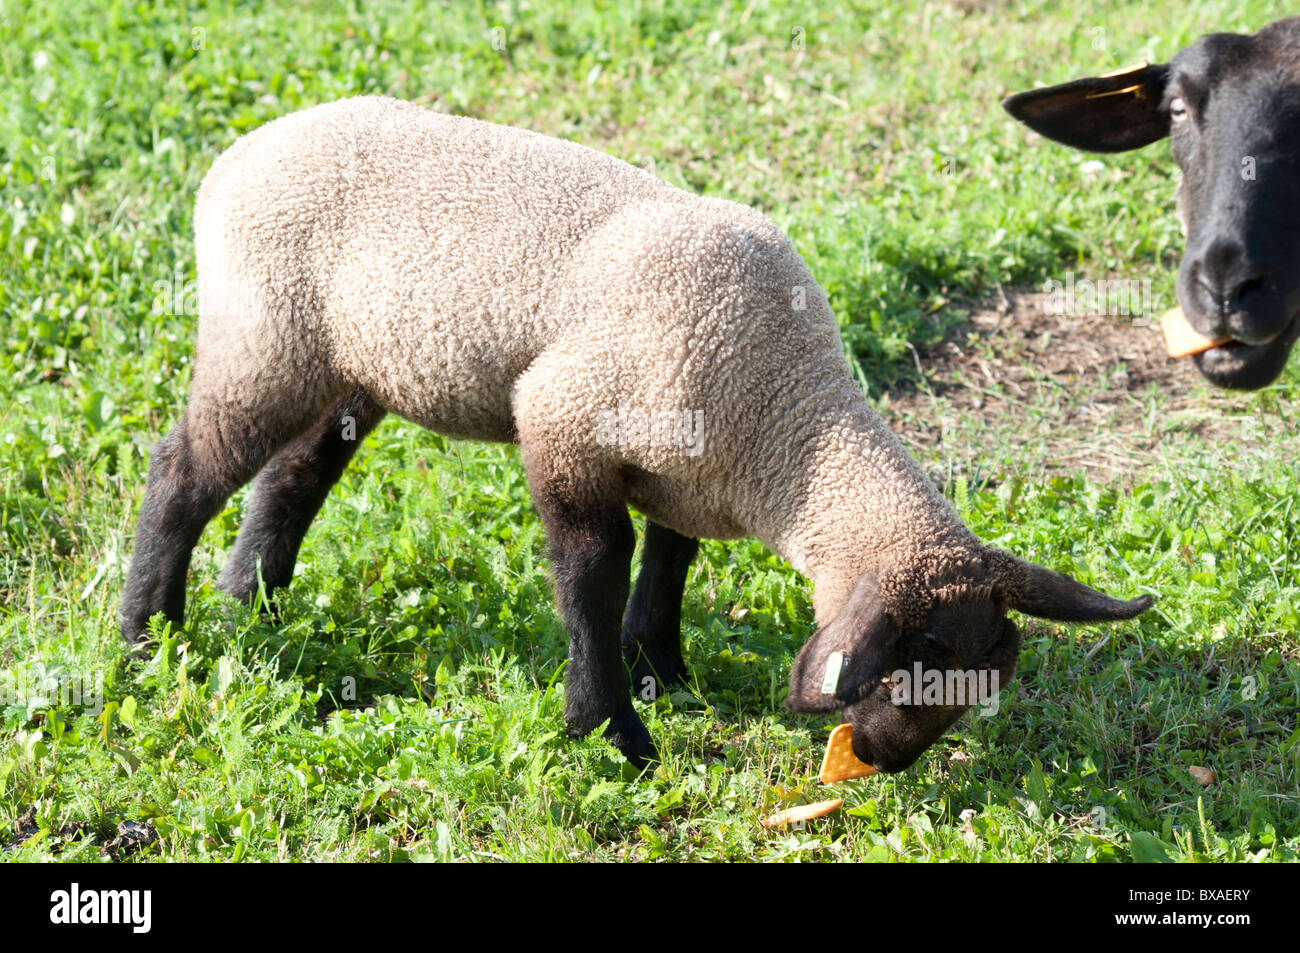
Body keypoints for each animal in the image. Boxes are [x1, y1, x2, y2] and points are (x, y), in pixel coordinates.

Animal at [119, 95, 1152, 770]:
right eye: (906, 672)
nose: (885, 763)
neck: (785, 414)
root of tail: (234, 158)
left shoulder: (682, 473)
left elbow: (667, 568)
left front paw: (669, 673)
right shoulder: (563, 424)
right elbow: (592, 578)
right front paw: (611, 728)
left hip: (348, 366)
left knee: (290, 477)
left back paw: (252, 602)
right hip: (264, 338)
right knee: (182, 470)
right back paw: (148, 636)